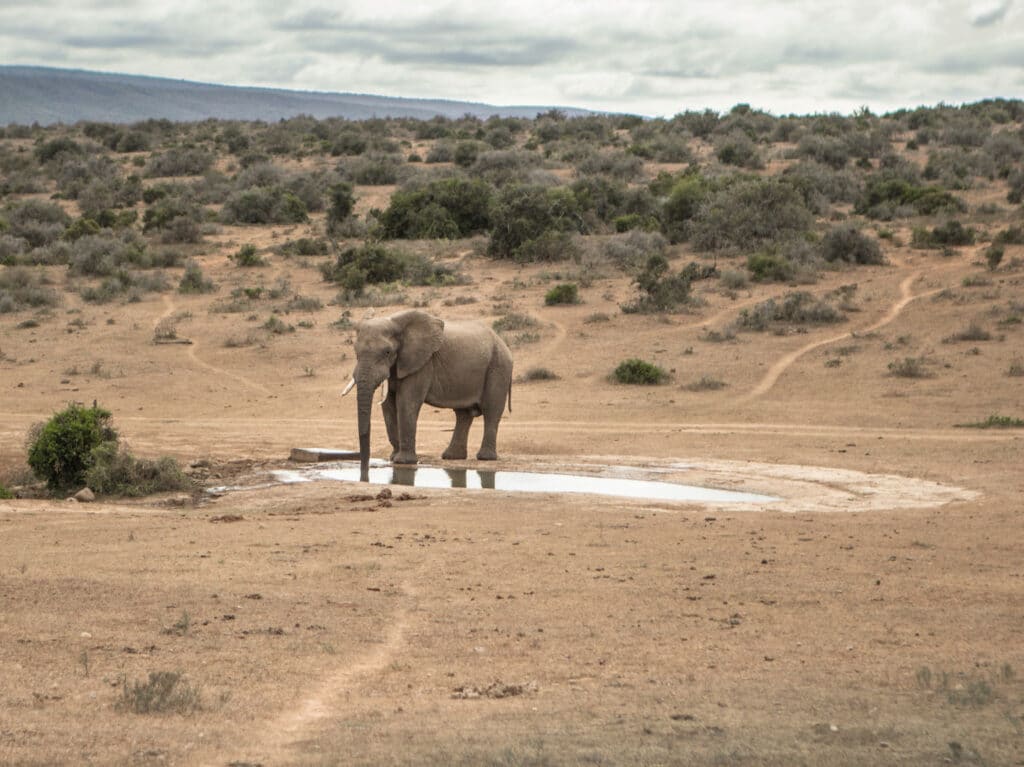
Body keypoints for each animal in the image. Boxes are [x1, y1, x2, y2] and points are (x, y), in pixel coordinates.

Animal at [342, 310, 513, 480]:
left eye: (387, 352)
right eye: (356, 352)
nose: (365, 473)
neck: (397, 323)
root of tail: (503, 343)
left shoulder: (422, 363)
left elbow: (406, 402)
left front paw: (403, 461)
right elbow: (388, 405)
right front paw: (394, 458)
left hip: (498, 367)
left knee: (491, 412)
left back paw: (485, 458)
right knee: (463, 415)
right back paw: (452, 457)